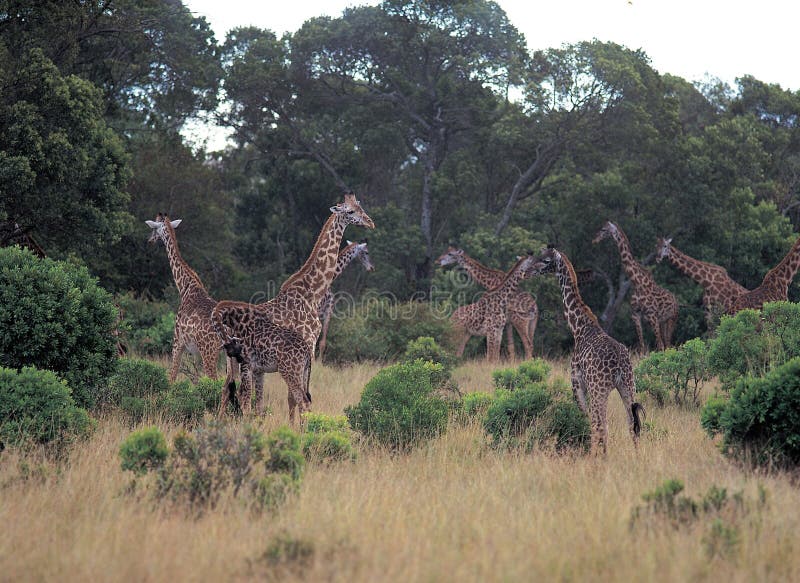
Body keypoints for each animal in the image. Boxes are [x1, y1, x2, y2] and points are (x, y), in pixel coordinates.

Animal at [146, 214, 220, 381]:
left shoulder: (177, 342)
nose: (150, 240)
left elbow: (172, 376)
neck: (185, 287)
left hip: (209, 351)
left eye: (153, 228)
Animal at [213, 194, 374, 421]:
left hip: (232, 360)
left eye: (360, 206)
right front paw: (295, 427)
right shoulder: (308, 343)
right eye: (350, 211)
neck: (311, 293)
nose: (370, 222)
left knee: (226, 388)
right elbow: (295, 397)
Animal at [530, 246, 644, 455]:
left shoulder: (577, 384)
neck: (579, 328)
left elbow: (584, 419)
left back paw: (597, 457)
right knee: (632, 424)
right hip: (628, 385)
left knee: (600, 425)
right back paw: (636, 456)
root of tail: (619, 365)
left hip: (599, 388)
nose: (530, 269)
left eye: (545, 260)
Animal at [593, 221, 679, 352]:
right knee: (667, 344)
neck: (637, 282)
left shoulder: (652, 316)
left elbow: (659, 345)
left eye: (603, 229)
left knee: (667, 344)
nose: (594, 239)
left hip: (672, 319)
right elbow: (642, 346)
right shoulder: (636, 315)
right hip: (663, 321)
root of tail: (675, 301)